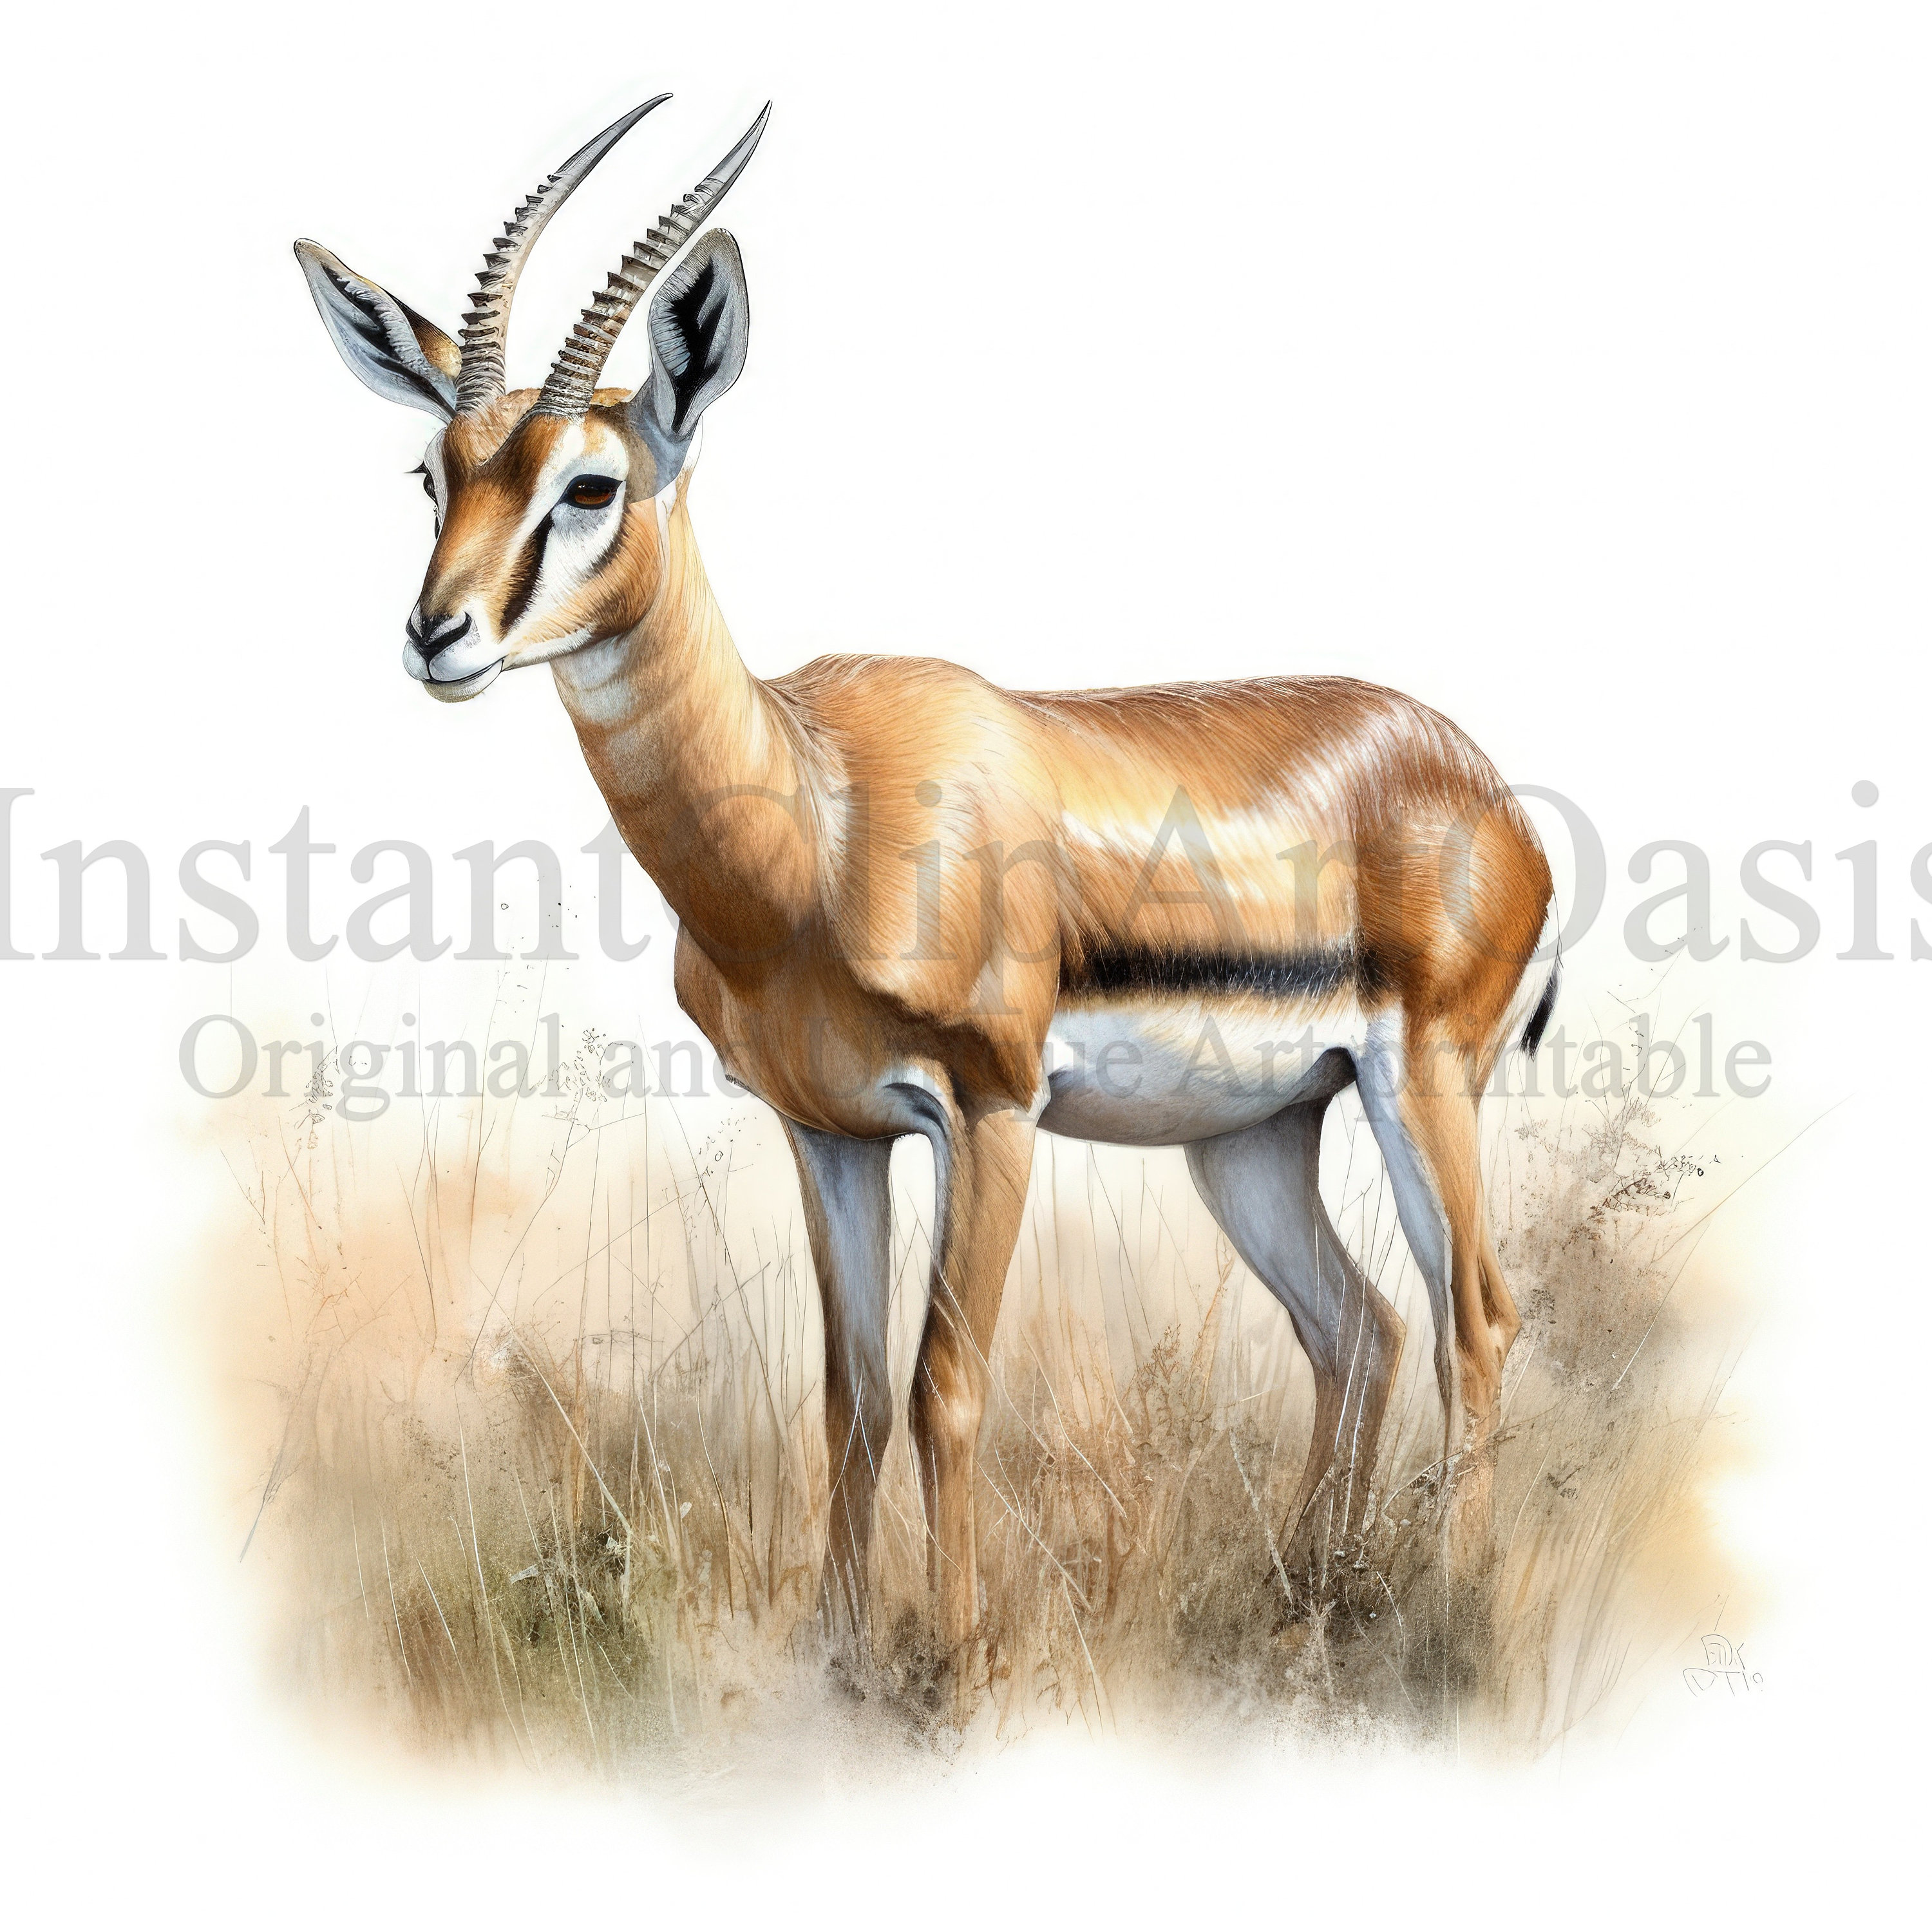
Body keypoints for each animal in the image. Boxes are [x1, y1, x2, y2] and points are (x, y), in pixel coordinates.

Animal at [296, 97, 1558, 1682]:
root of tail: (1489, 789)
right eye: (434, 475)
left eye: (590, 483)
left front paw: (951, 1670)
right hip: (1251, 1139)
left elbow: (944, 1386)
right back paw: (1310, 1608)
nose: (437, 634)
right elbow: (847, 1401)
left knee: (1477, 1322)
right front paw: (834, 1660)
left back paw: (1451, 1614)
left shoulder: (989, 1108)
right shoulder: (831, 1135)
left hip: (1421, 1085)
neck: (815, 824)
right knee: (1361, 1328)